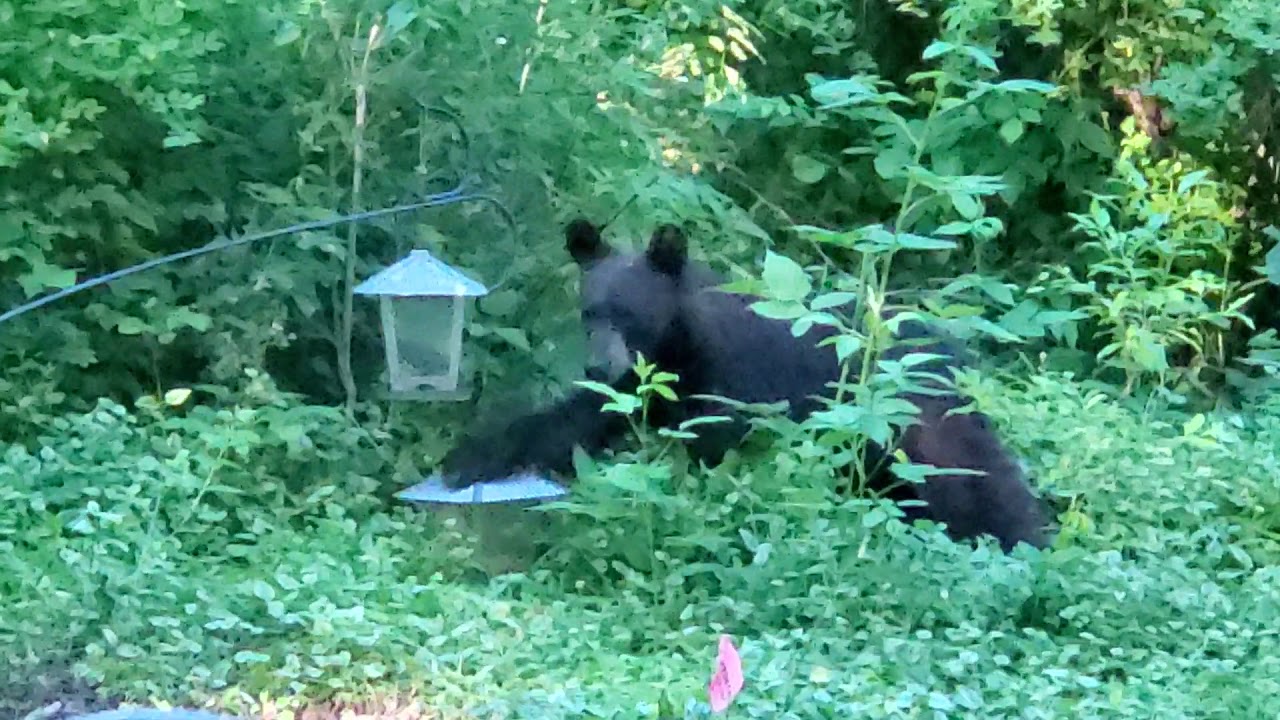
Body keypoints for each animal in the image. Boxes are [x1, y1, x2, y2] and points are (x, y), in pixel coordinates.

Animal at [440, 218, 1050, 552]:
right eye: (590, 311)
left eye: (630, 313)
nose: (597, 365)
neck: (679, 350)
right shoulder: (635, 390)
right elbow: (571, 421)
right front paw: (468, 457)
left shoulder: (737, 382)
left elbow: (716, 447)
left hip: (915, 424)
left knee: (974, 485)